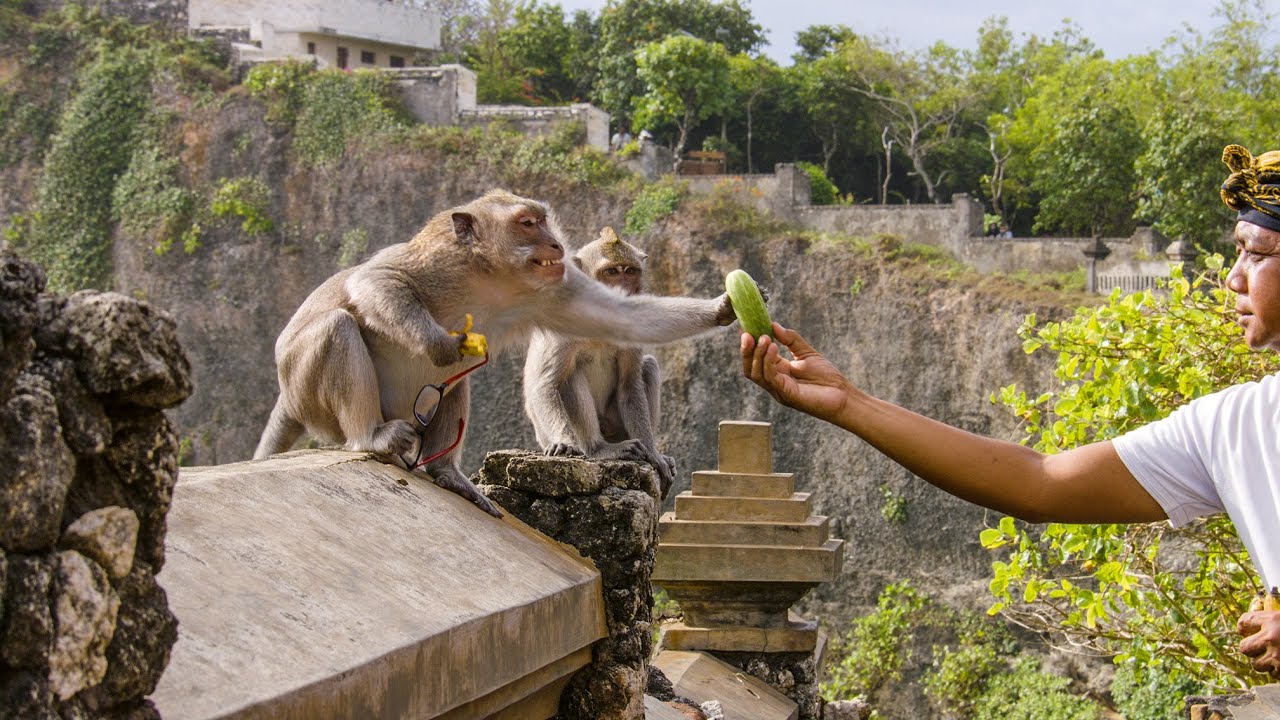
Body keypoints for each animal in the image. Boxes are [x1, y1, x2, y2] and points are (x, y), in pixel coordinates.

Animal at [523, 227, 678, 498]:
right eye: (611, 272)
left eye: (630, 271)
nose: (623, 288)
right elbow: (546, 385)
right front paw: (564, 442)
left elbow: (630, 384)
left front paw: (654, 454)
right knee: (569, 376)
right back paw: (597, 449)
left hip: (616, 426)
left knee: (648, 366)